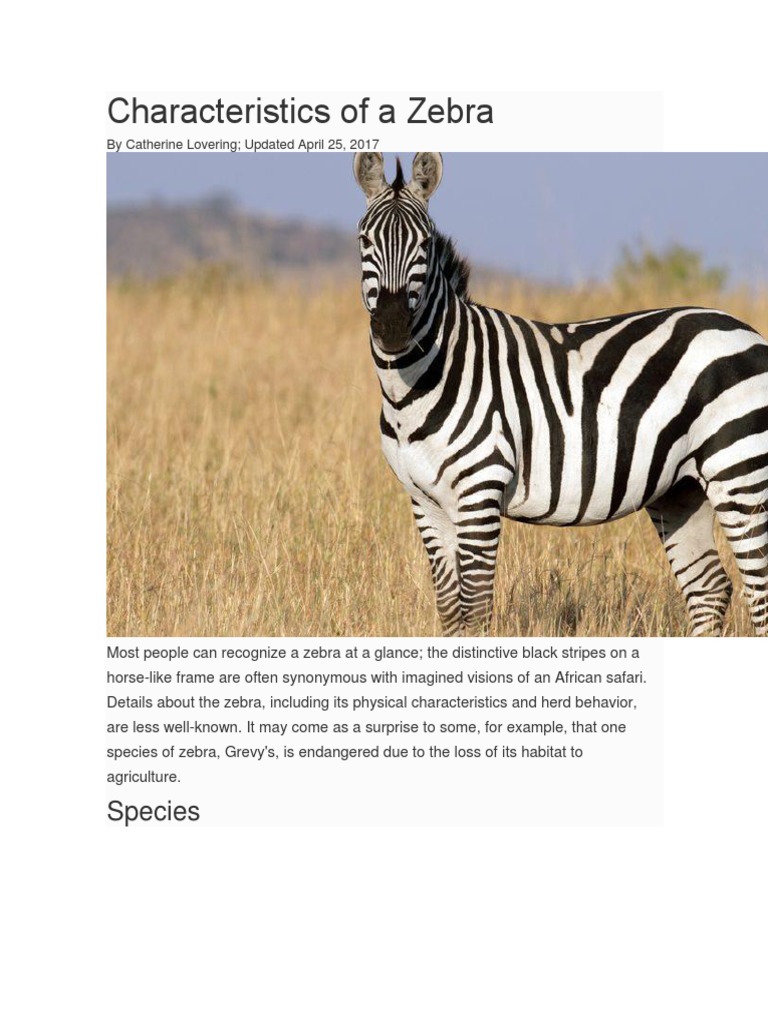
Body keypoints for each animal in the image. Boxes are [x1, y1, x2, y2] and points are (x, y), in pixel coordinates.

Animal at [354, 151, 768, 637]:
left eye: (423, 245)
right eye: (364, 240)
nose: (393, 329)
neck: (415, 390)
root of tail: (746, 330)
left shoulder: (480, 491)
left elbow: (474, 611)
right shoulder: (424, 502)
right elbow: (451, 613)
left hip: (740, 473)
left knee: (757, 590)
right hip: (681, 486)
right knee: (708, 588)